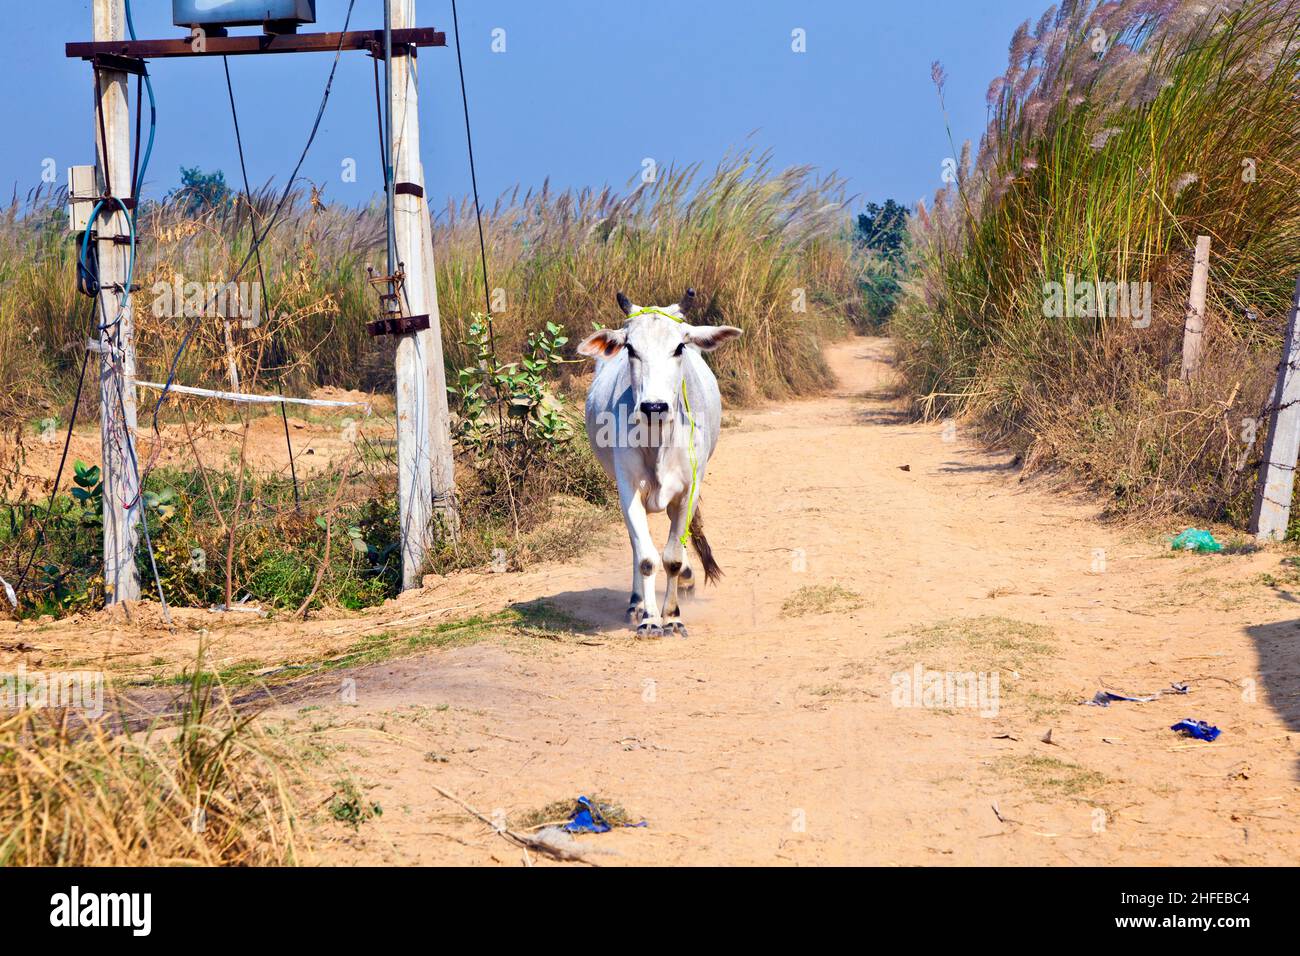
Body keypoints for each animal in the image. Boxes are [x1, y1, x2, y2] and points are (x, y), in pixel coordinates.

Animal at [577, 288, 742, 637]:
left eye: (679, 347)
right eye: (630, 348)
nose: (654, 406)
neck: (658, 444)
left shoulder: (688, 490)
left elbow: (673, 558)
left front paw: (673, 616)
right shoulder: (627, 490)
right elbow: (647, 558)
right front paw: (650, 618)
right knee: (637, 546)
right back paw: (637, 602)